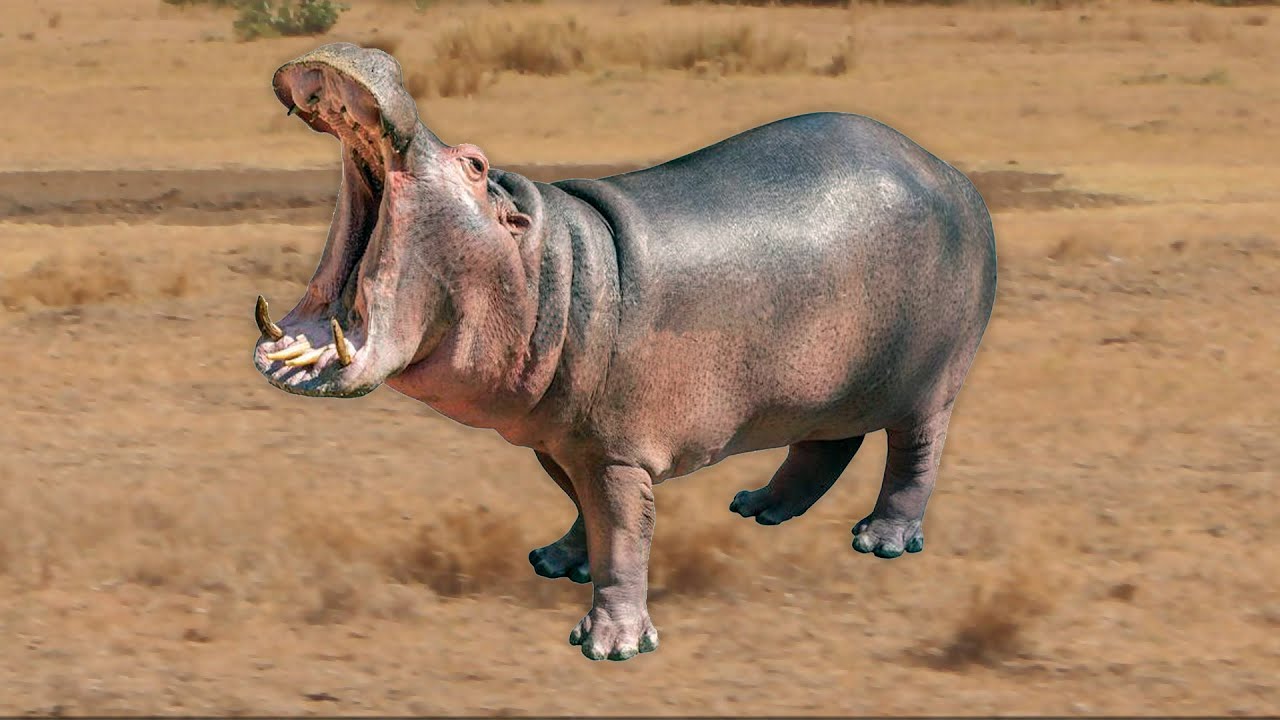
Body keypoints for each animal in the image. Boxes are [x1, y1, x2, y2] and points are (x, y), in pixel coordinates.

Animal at [252, 43, 997, 662]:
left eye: (475, 163)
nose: (377, 55)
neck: (546, 264)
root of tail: (953, 174)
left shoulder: (615, 453)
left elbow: (623, 537)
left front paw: (609, 644)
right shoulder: (560, 440)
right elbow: (585, 514)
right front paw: (554, 561)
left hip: (929, 383)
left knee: (914, 453)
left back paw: (881, 540)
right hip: (821, 384)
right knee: (826, 444)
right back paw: (758, 507)